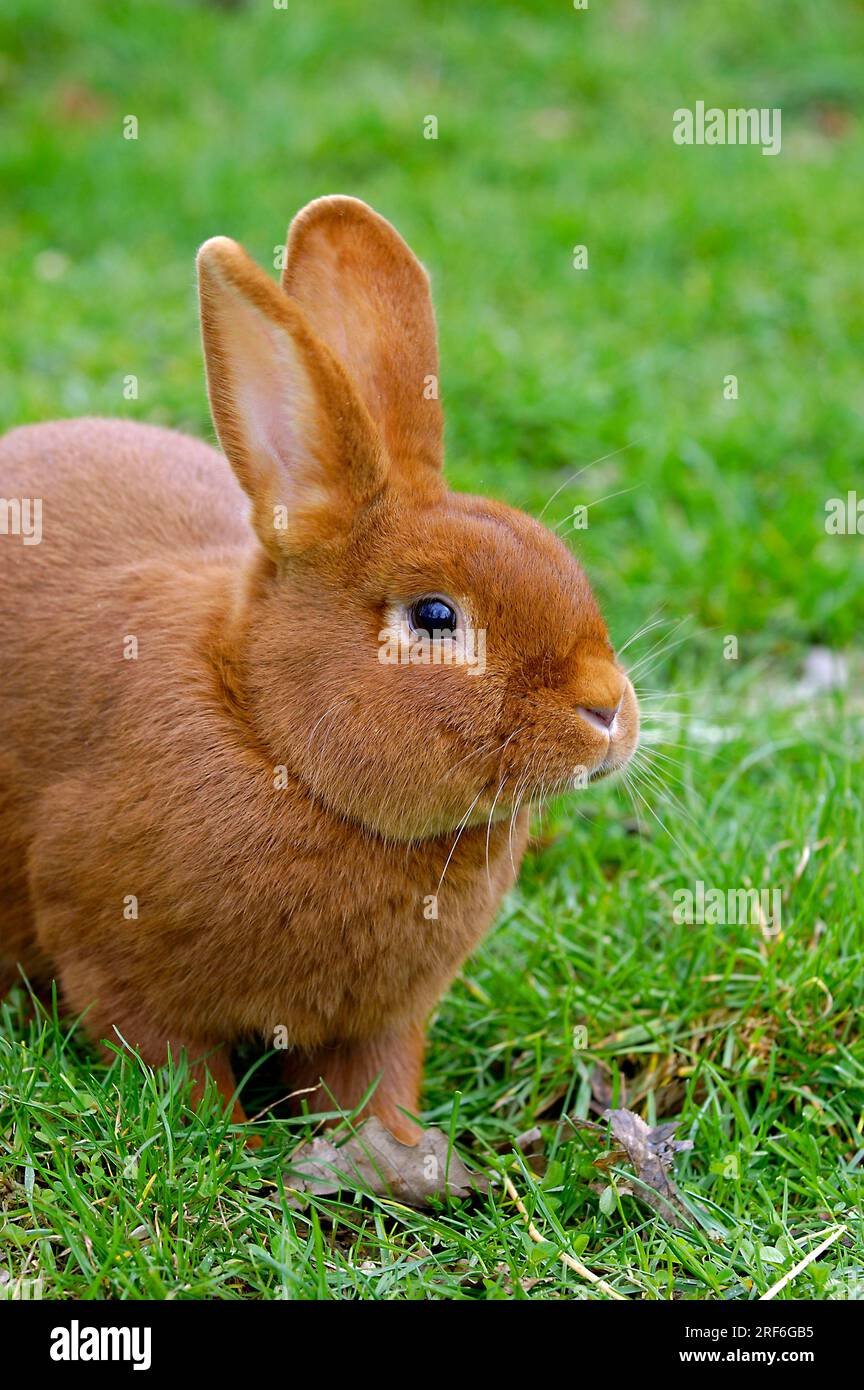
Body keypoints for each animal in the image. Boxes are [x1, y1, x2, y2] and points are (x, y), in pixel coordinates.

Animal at [0, 196, 639, 1145]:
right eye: (436, 617)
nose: (608, 714)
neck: (270, 736)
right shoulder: (118, 971)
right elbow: (177, 1072)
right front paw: (236, 1145)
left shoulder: (380, 1021)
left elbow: (372, 1083)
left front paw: (387, 1146)